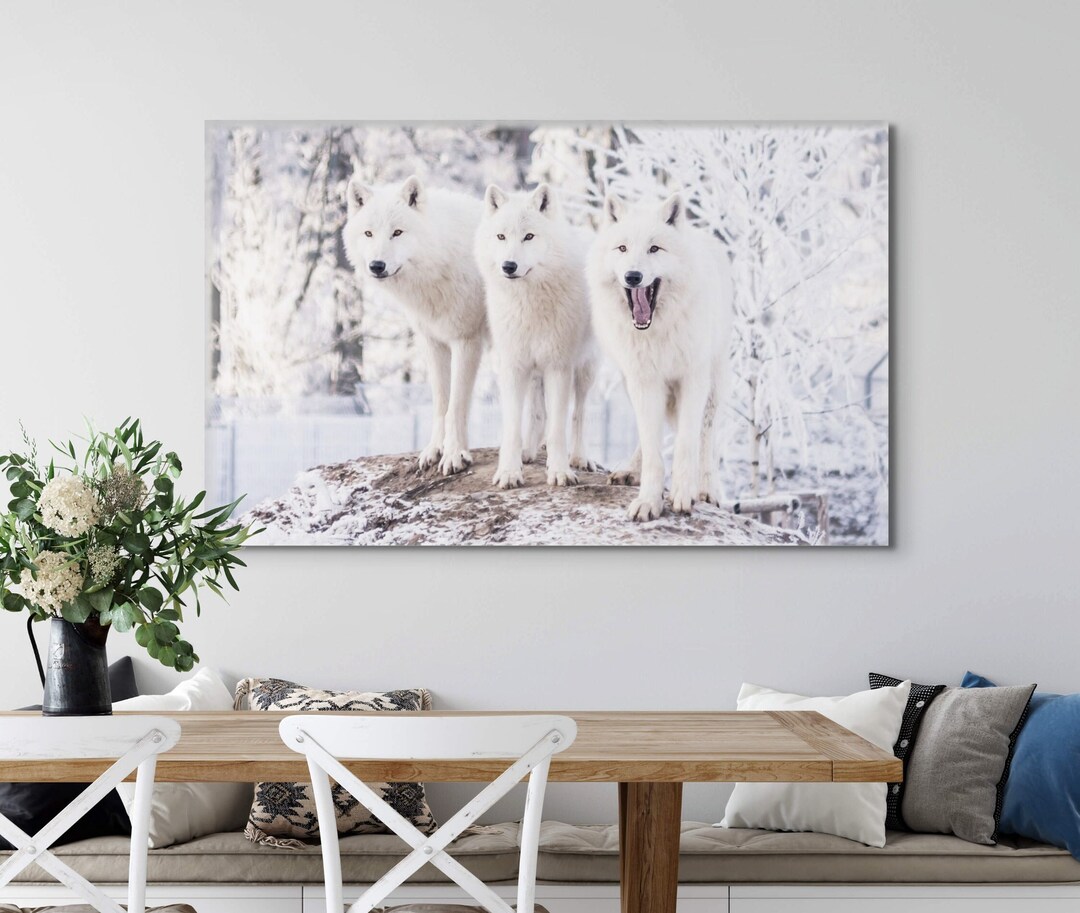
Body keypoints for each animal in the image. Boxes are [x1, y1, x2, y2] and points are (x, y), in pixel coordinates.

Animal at [342, 175, 486, 476]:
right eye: (368, 233)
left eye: (397, 232)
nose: (377, 265)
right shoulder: (434, 342)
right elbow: (441, 404)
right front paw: (435, 451)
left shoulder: (466, 341)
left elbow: (456, 405)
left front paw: (454, 455)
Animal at [475, 183, 597, 489]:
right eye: (501, 236)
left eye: (529, 236)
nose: (508, 266)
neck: (527, 303)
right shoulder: (513, 366)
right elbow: (513, 427)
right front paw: (509, 471)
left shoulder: (559, 367)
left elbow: (558, 429)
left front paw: (560, 471)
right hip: (533, 372)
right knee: (537, 414)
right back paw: (528, 452)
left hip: (586, 368)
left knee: (579, 413)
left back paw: (580, 458)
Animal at [586, 191, 733, 521]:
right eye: (623, 248)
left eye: (654, 248)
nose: (633, 276)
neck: (656, 331)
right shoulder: (645, 382)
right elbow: (652, 448)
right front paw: (649, 502)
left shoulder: (692, 380)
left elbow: (686, 444)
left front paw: (683, 496)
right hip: (629, 383)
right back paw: (629, 470)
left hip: (714, 386)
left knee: (707, 439)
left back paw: (709, 489)